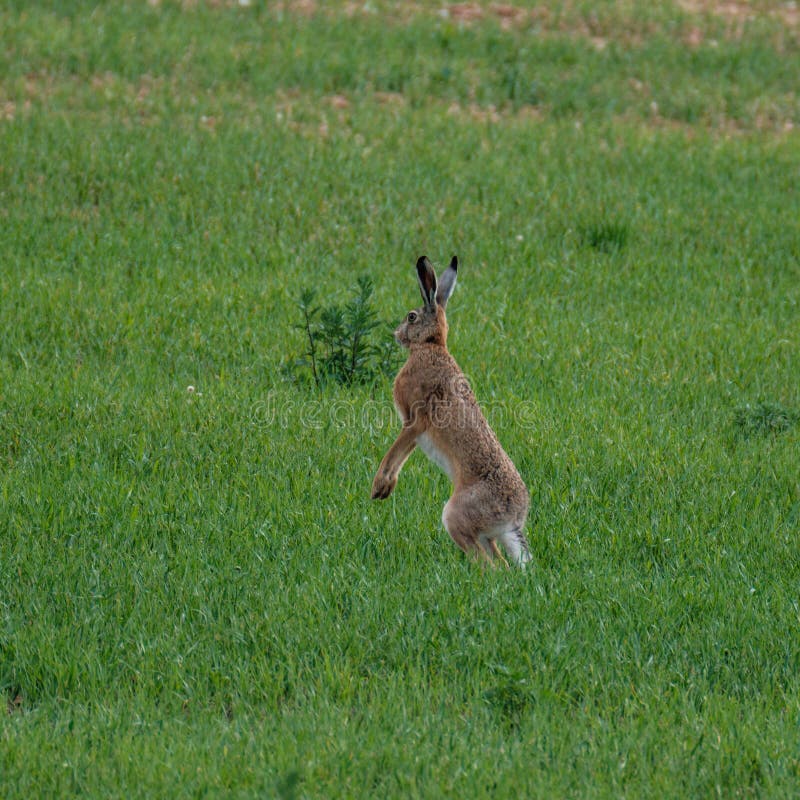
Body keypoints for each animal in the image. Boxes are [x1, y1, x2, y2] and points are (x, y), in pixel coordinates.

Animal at [371, 255, 532, 568]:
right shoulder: (417, 433)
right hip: (487, 534)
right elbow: (402, 455)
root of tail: (514, 518)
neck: (430, 346)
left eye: (411, 316)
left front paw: (379, 486)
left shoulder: (415, 420)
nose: (396, 334)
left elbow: (394, 452)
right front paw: (386, 488)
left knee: (489, 566)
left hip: (456, 516)